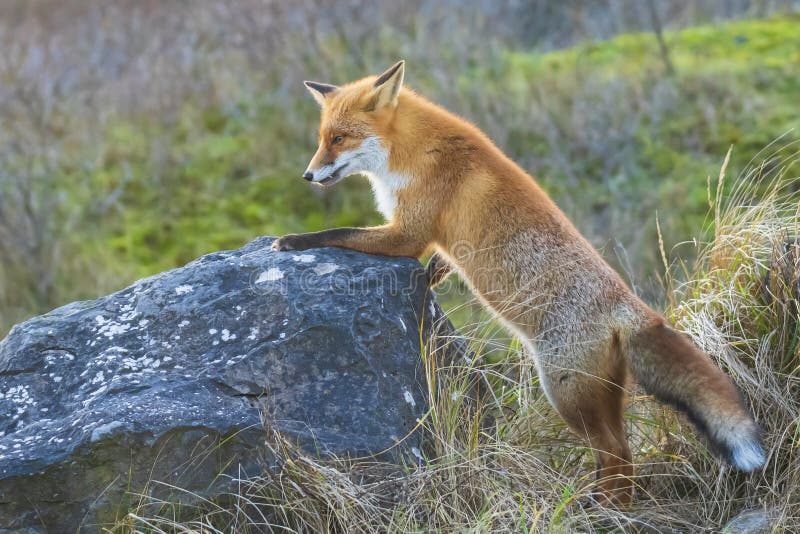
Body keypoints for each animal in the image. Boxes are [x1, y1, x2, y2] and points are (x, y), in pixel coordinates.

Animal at [271, 60, 766, 505]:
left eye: (339, 138)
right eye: (321, 139)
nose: (307, 175)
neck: (413, 151)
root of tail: (631, 306)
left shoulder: (407, 233)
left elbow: (337, 232)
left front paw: (292, 241)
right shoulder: (435, 243)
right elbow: (435, 266)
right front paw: (429, 279)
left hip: (564, 391)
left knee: (616, 454)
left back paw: (605, 512)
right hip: (600, 396)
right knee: (618, 454)